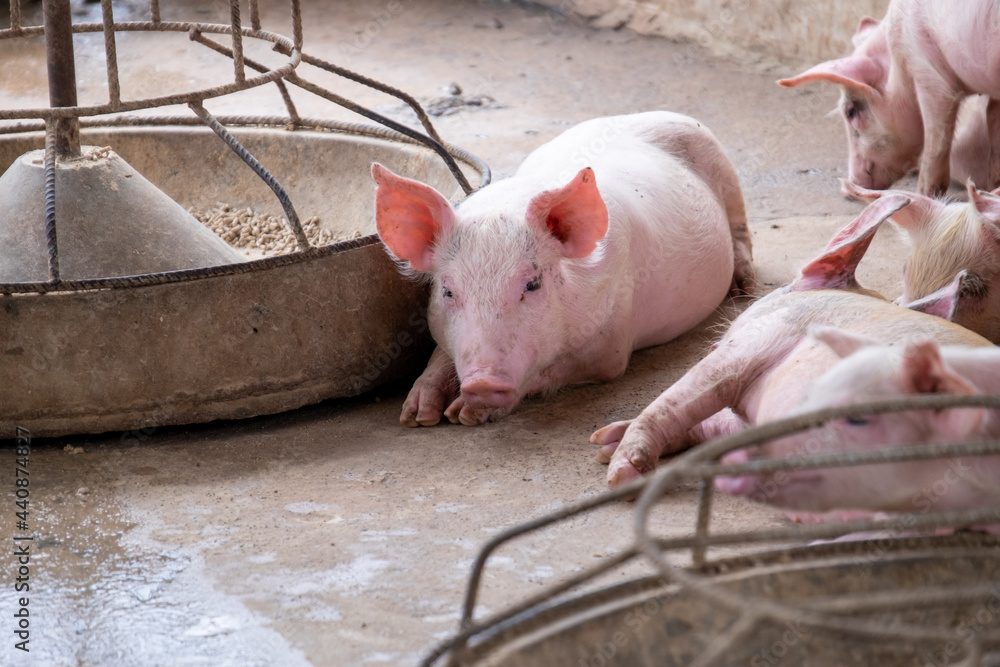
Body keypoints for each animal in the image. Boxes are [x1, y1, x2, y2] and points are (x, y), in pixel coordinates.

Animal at [372, 111, 755, 427]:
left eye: (532, 284)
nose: (481, 382)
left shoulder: (611, 347)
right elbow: (440, 351)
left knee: (740, 229)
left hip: (723, 168)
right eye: (448, 291)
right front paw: (417, 416)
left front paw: (461, 413)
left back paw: (743, 289)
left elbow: (557, 372)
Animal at [591, 194, 992, 488]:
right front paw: (602, 441)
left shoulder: (765, 338)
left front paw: (621, 472)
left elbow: (684, 397)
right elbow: (715, 423)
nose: (602, 446)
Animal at [778, 2, 1000, 197]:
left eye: (850, 112)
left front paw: (923, 195)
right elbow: (993, 129)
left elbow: (935, 143)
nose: (845, 186)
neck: (897, 64)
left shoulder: (928, 72)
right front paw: (992, 188)